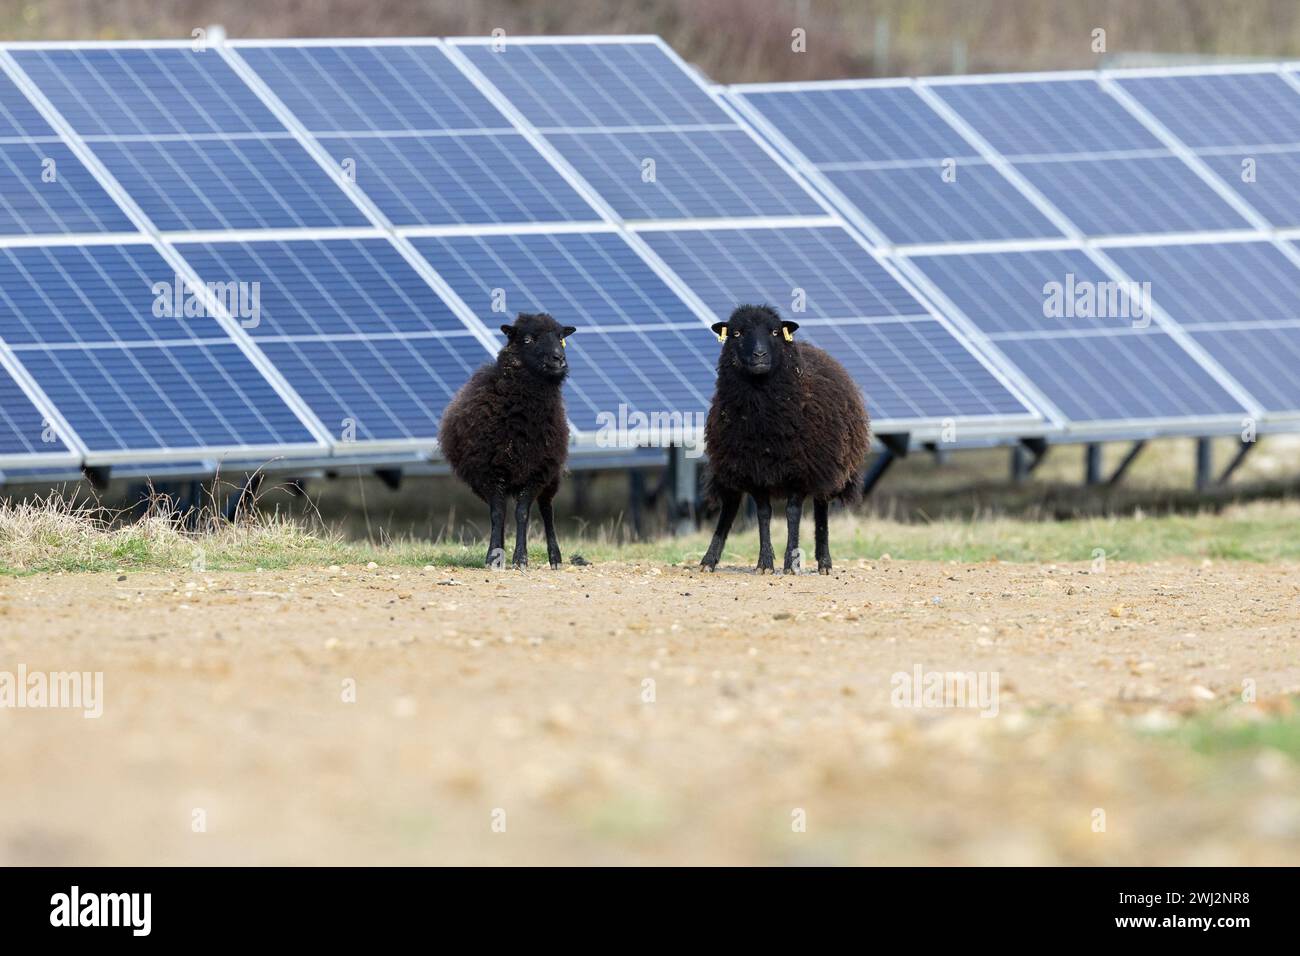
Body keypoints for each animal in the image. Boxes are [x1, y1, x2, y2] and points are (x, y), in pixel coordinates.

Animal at [439, 312, 575, 569]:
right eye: (528, 339)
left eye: (561, 339)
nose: (559, 359)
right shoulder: (489, 471)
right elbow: (497, 514)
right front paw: (493, 557)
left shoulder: (536, 471)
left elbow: (522, 513)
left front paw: (521, 559)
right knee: (500, 513)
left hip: (551, 476)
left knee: (547, 511)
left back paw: (555, 558)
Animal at [699, 304, 870, 575]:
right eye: (736, 333)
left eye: (775, 332)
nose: (759, 354)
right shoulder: (753, 470)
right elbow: (764, 513)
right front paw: (765, 564)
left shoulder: (800, 471)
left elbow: (792, 513)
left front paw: (791, 562)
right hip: (729, 464)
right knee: (730, 506)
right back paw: (709, 561)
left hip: (826, 466)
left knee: (821, 511)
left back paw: (824, 562)